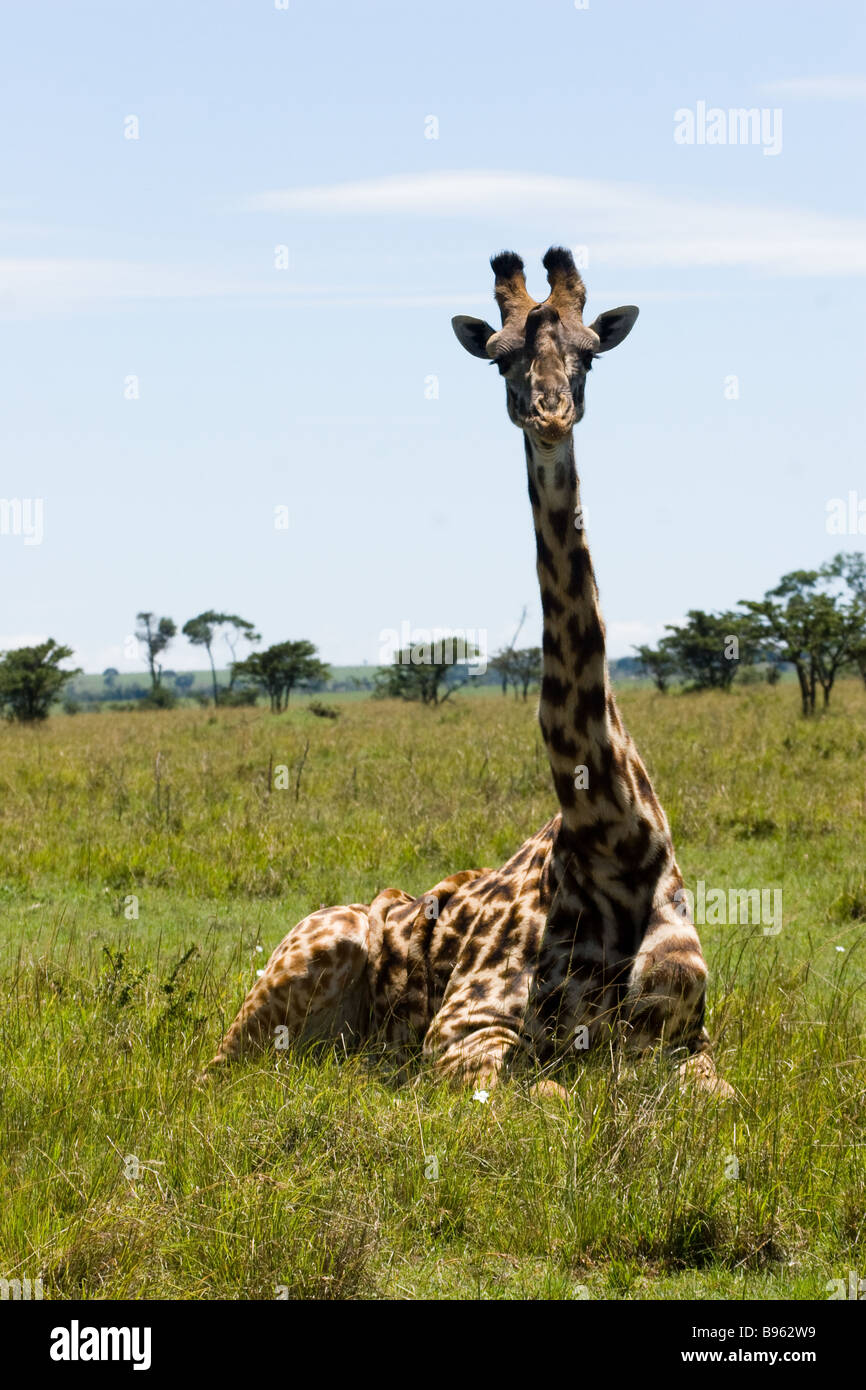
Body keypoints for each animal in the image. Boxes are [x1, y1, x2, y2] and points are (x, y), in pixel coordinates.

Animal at [208, 247, 731, 1100]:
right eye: (500, 358)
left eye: (589, 352)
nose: (548, 414)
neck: (615, 840)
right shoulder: (464, 1035)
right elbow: (549, 1096)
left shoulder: (689, 1040)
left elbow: (715, 1097)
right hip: (307, 968)